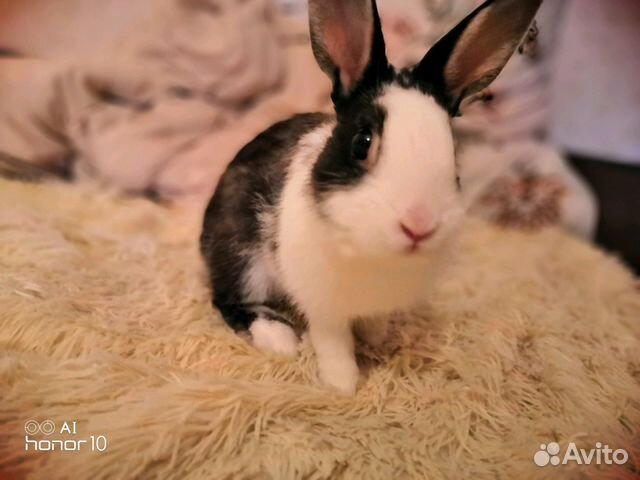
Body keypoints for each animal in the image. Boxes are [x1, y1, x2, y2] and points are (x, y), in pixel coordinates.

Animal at [200, 0, 542, 395]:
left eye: (454, 154)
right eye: (361, 143)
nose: (419, 225)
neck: (377, 254)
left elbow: (374, 324)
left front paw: (379, 341)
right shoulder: (324, 307)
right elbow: (333, 343)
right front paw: (343, 385)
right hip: (243, 258)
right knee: (227, 299)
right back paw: (281, 338)